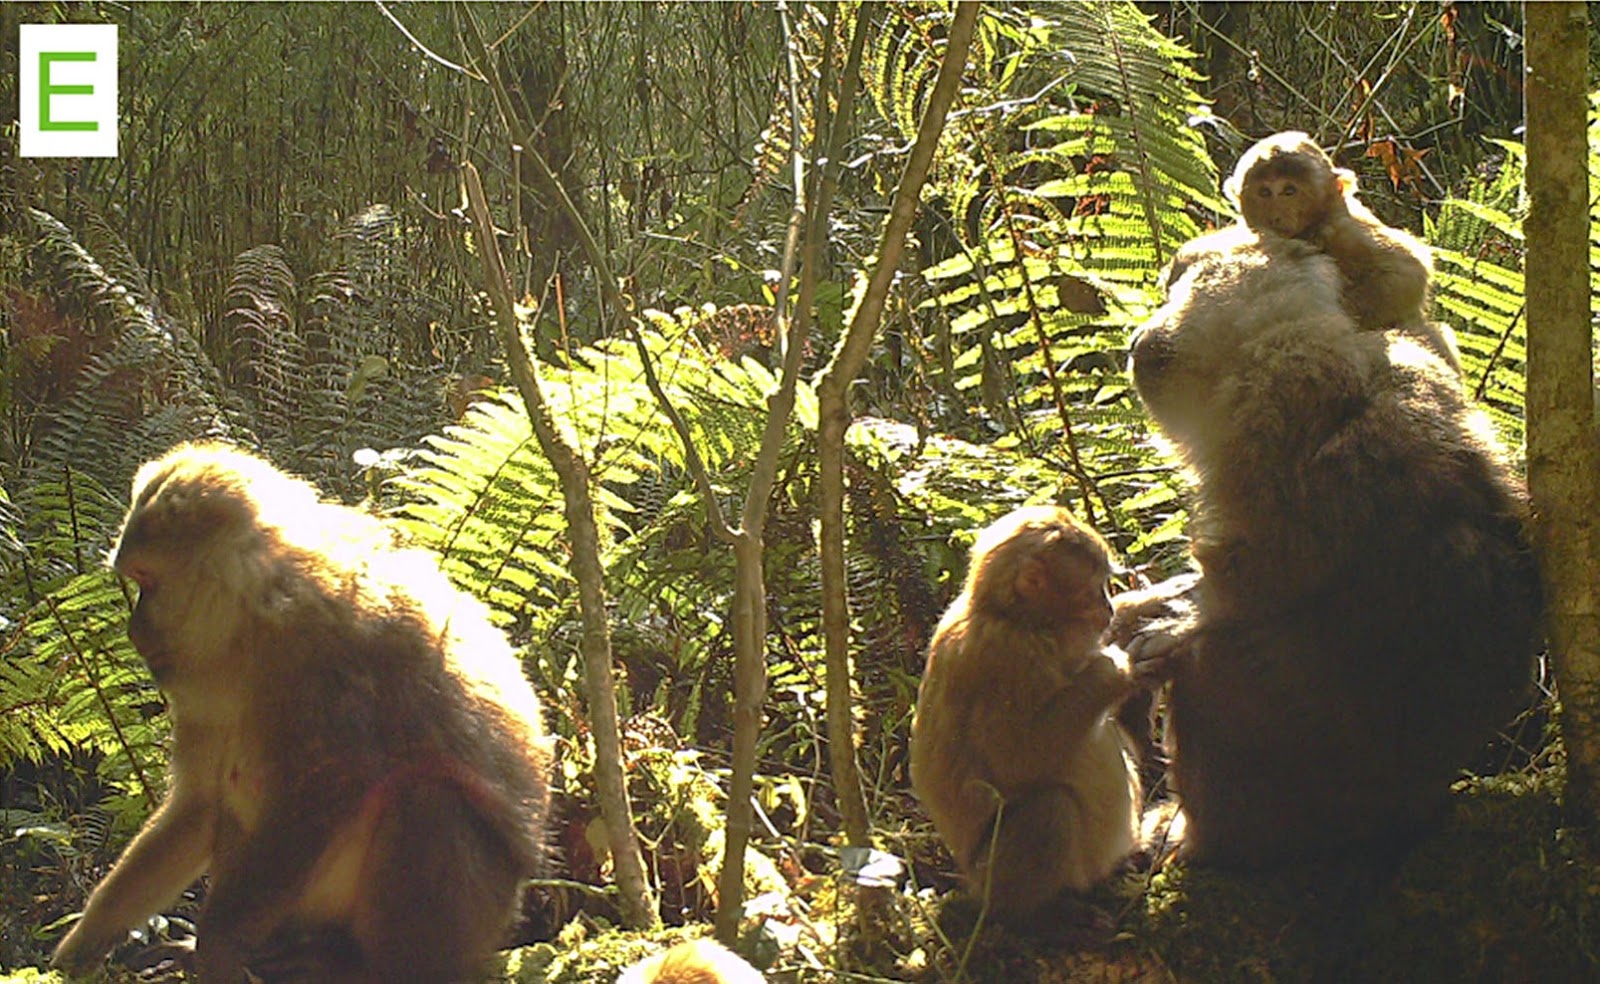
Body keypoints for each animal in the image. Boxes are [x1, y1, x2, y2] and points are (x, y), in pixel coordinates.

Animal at [49, 442, 552, 982]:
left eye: (148, 584)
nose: (134, 630)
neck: (256, 617)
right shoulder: (201, 690)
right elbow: (201, 805)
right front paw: (81, 947)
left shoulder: (318, 657)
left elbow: (331, 786)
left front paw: (216, 947)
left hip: (470, 916)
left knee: (425, 795)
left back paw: (359, 964)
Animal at [910, 506, 1142, 921]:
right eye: (1093, 589)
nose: (1109, 608)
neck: (1015, 617)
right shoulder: (1009, 659)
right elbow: (1019, 761)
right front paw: (1111, 668)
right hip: (993, 877)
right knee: (1050, 809)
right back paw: (1043, 914)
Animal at [1119, 231, 1541, 867]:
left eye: (1174, 285)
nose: (1139, 337)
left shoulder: (1278, 389)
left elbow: (1258, 569)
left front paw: (1179, 619)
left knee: (1219, 656)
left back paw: (1204, 837)